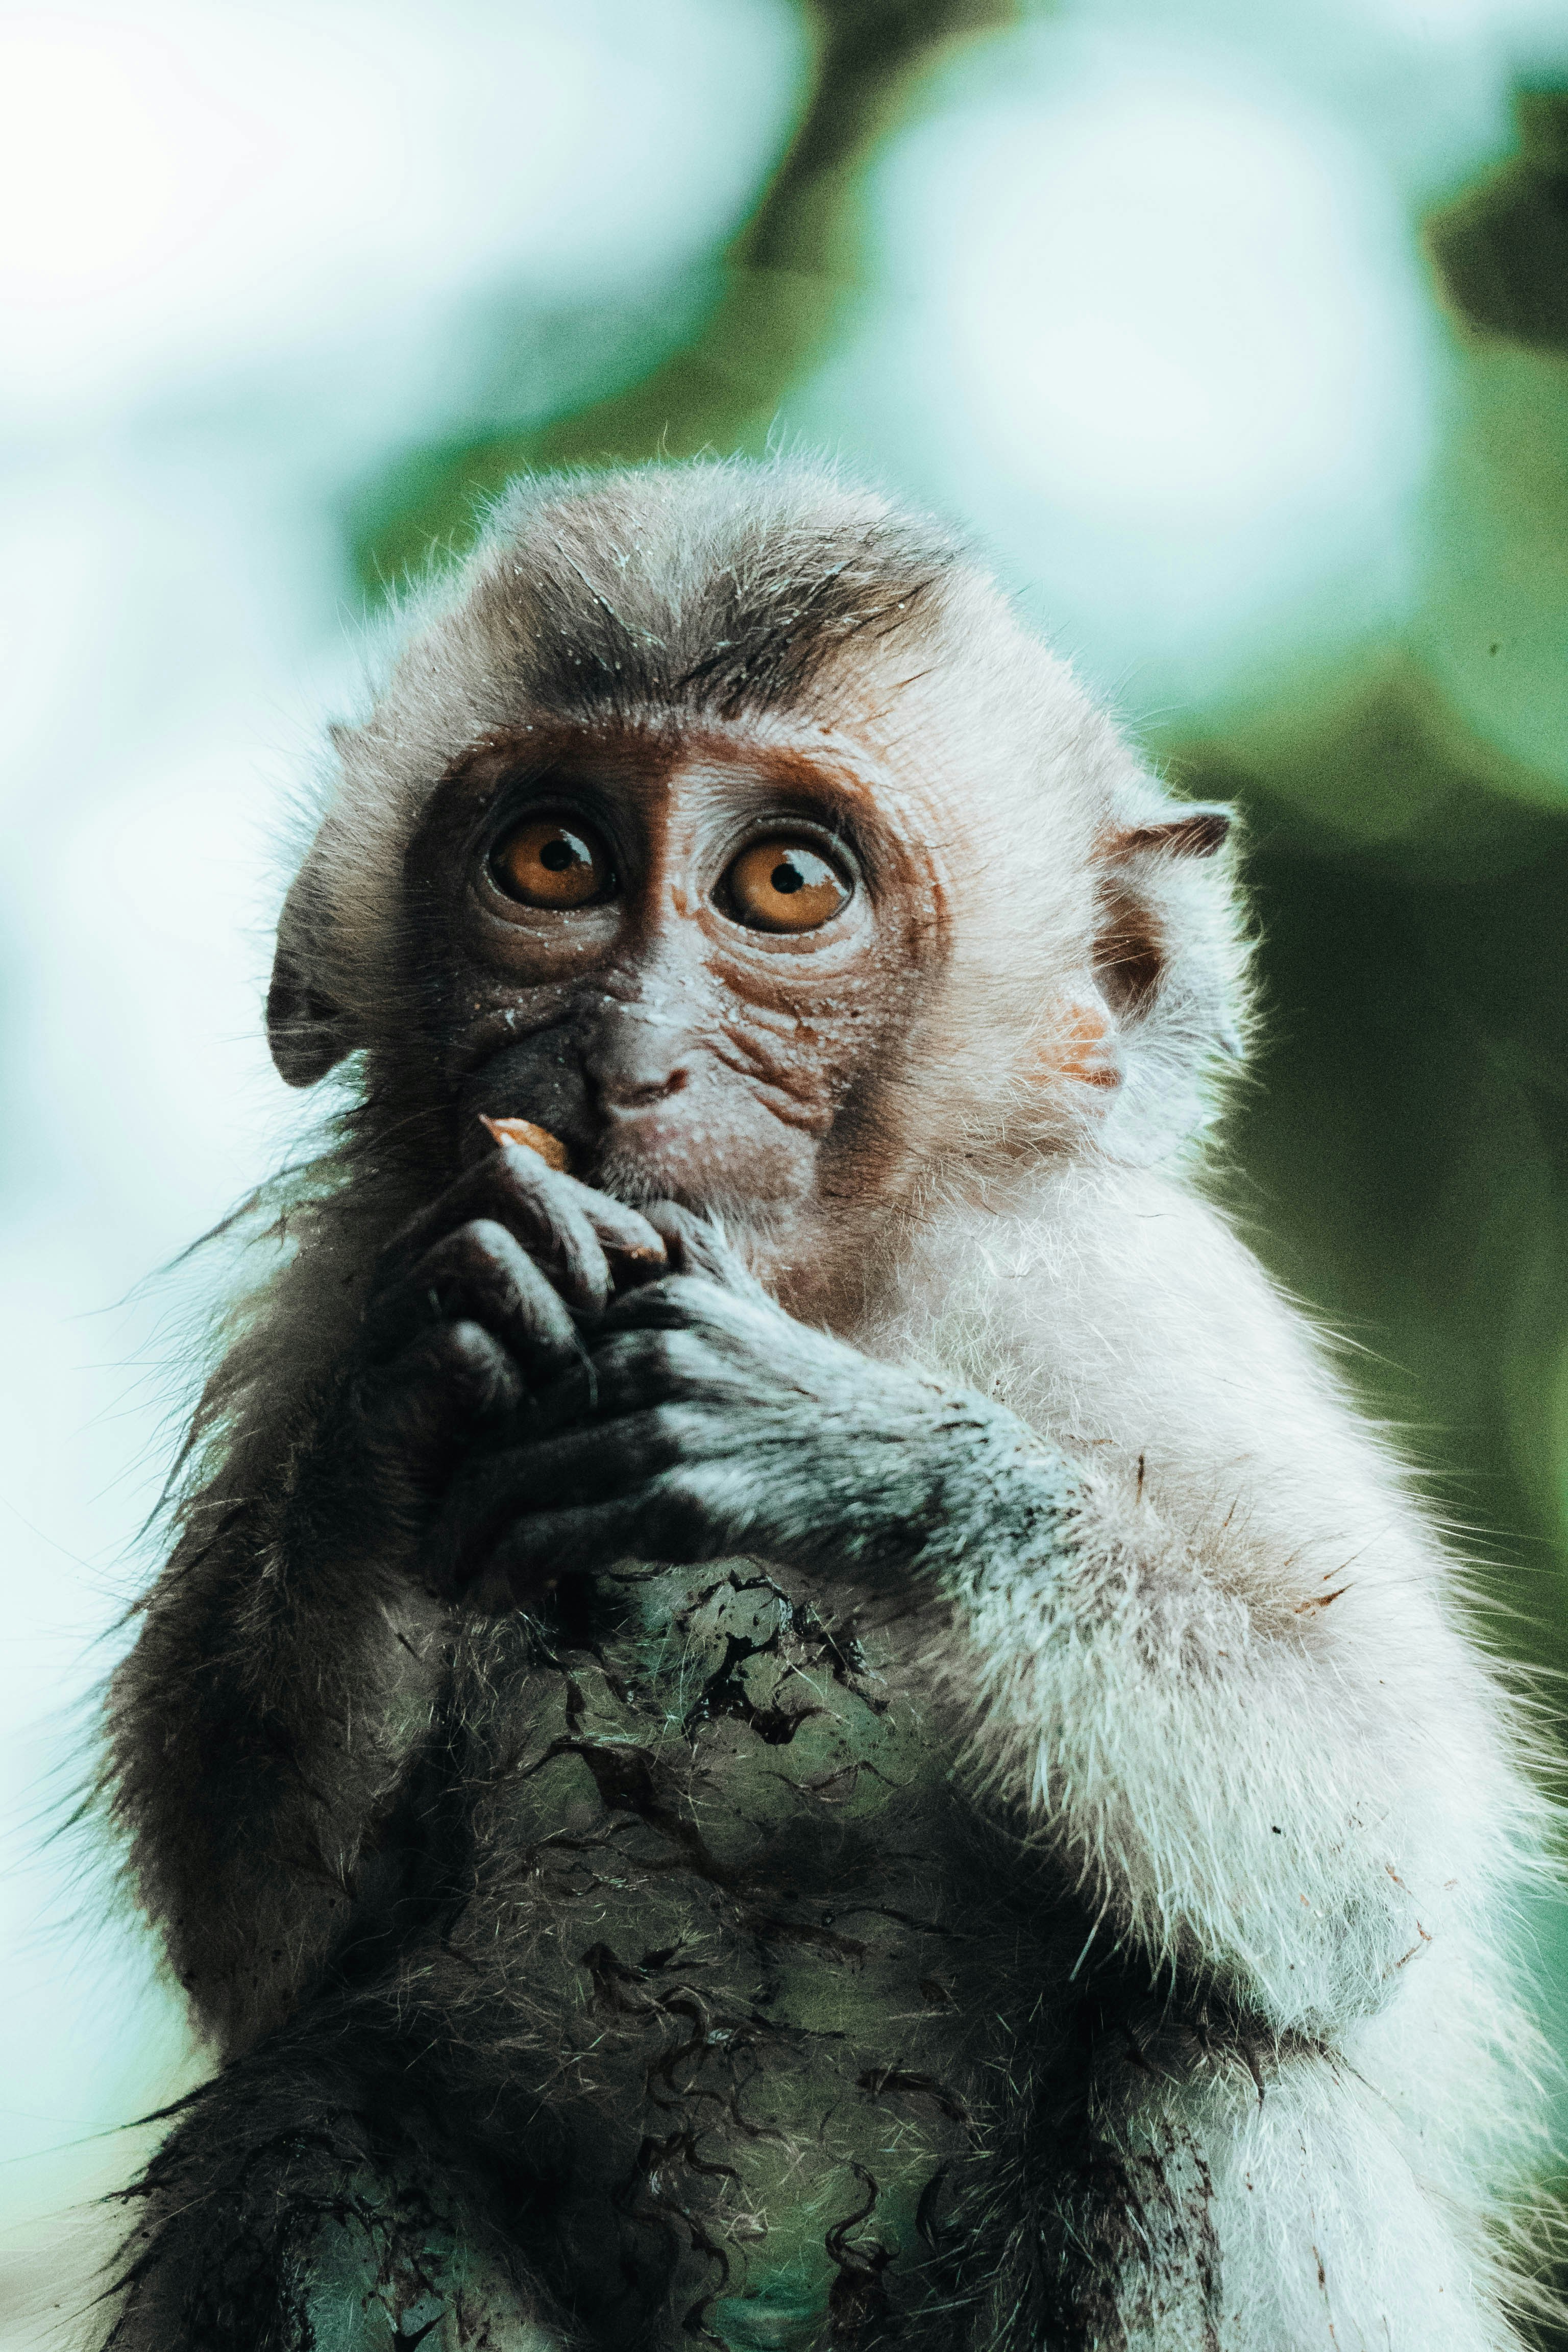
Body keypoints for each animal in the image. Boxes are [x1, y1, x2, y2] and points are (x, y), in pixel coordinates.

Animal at [98, 457, 1558, 2352]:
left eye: (785, 883)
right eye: (552, 858)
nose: (626, 1054)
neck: (824, 1279)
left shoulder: (1125, 1295)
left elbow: (1370, 1835)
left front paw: (841, 1454)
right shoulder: (324, 1291)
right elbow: (259, 1928)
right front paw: (431, 1369)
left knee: (1209, 2073)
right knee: (302, 2138)